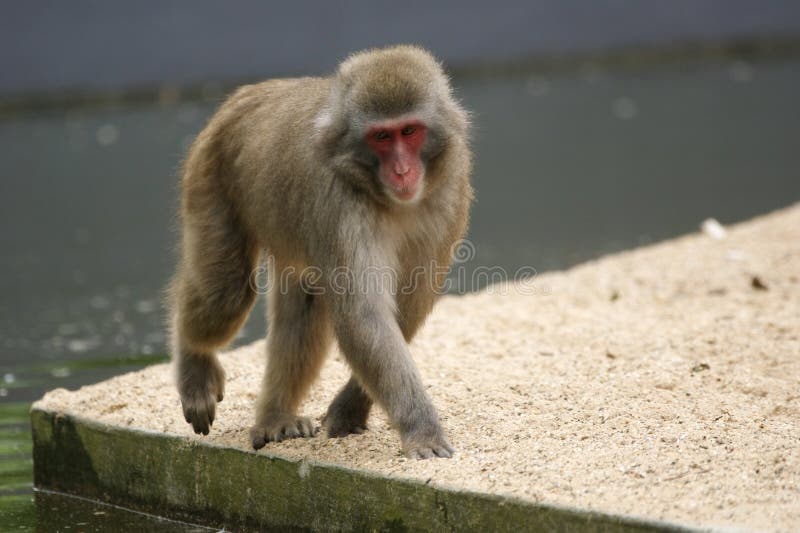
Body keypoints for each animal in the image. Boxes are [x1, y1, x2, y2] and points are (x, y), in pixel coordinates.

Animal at [168, 45, 472, 459]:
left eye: (409, 132)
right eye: (381, 136)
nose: (403, 171)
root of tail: (248, 93)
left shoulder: (450, 191)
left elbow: (409, 301)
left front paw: (348, 408)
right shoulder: (337, 202)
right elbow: (362, 314)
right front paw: (422, 430)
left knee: (304, 308)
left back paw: (274, 417)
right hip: (209, 175)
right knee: (225, 295)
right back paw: (194, 366)